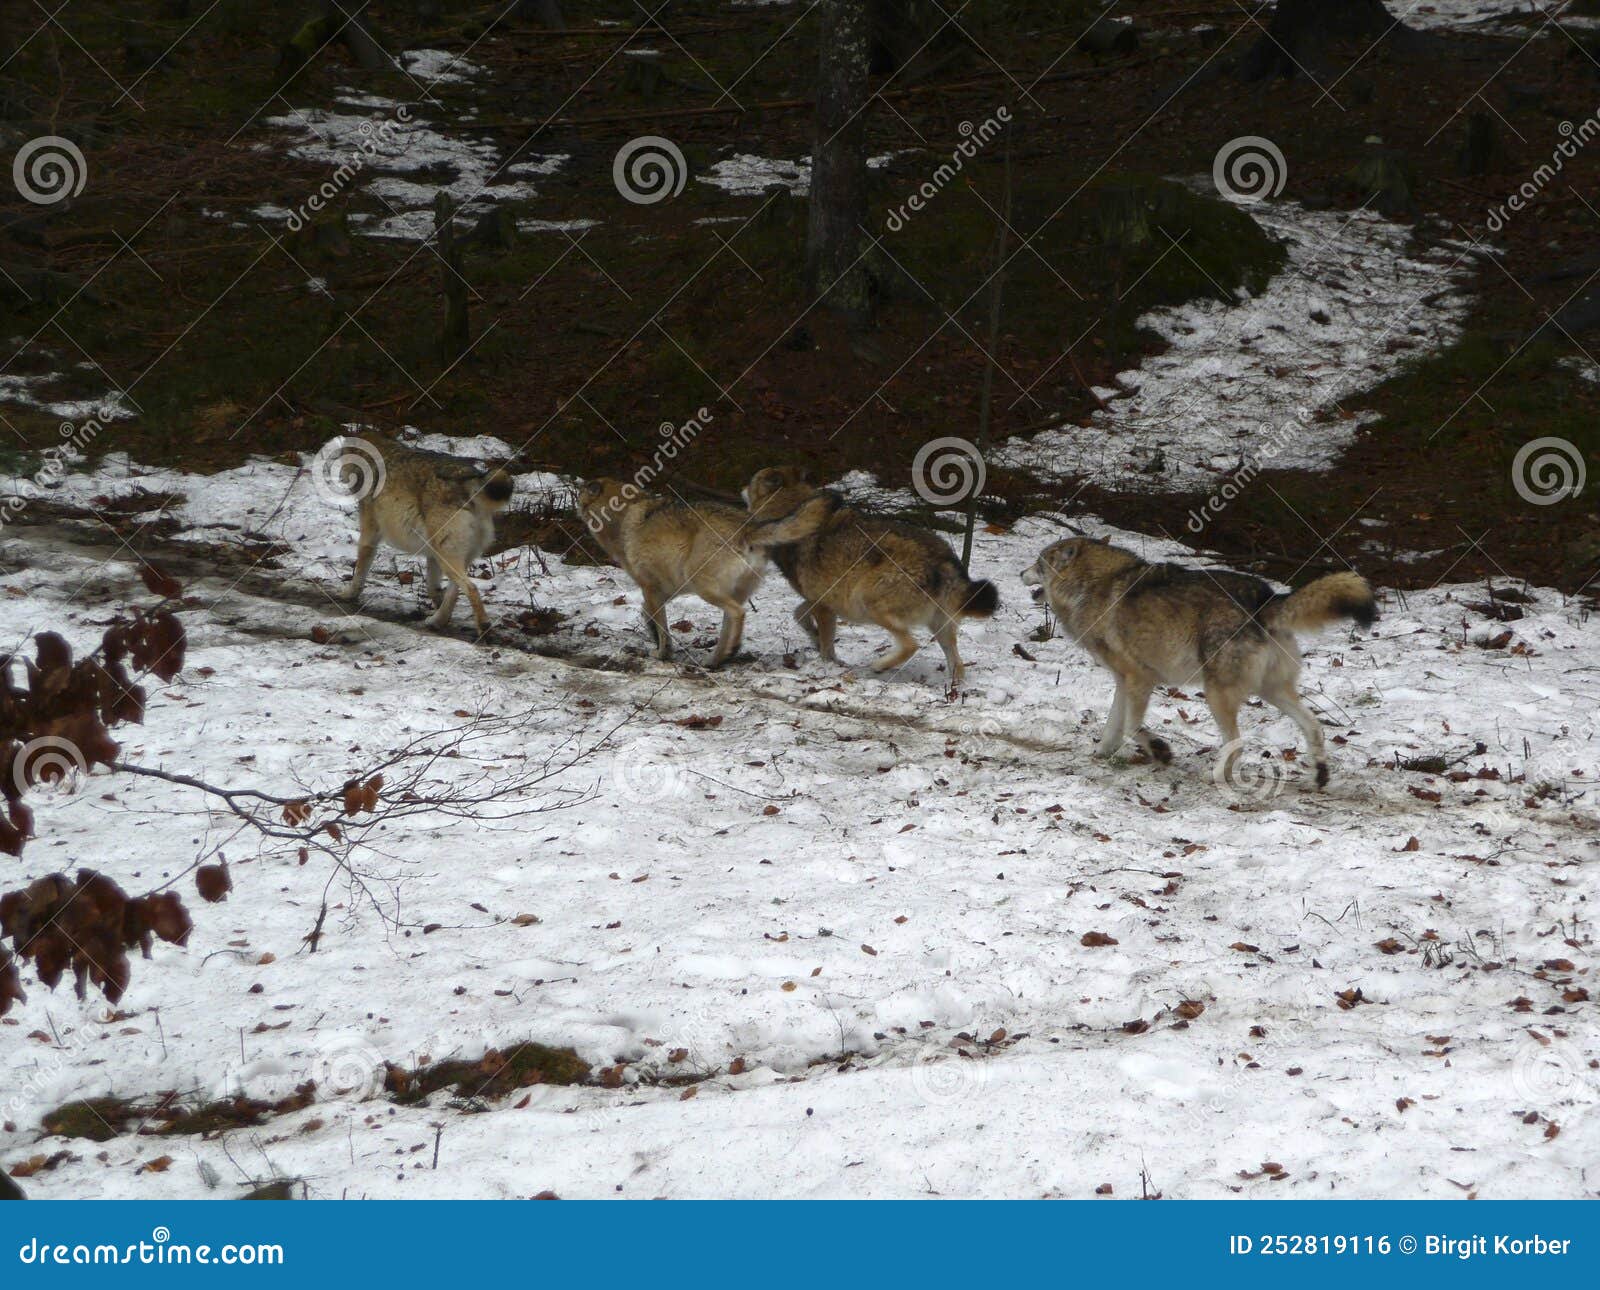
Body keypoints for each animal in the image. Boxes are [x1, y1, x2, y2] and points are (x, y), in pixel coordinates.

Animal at [337, 434, 514, 636]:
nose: (339, 477)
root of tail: (469, 482)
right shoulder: (431, 556)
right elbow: (433, 588)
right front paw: (437, 605)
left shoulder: (369, 535)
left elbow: (359, 571)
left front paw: (348, 594)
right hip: (453, 557)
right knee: (456, 591)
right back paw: (437, 621)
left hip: (448, 558)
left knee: (472, 588)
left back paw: (483, 626)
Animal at [576, 478, 829, 667]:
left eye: (579, 497)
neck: (622, 517)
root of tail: (748, 527)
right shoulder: (663, 590)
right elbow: (649, 615)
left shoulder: (650, 587)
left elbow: (662, 627)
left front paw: (662, 653)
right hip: (727, 591)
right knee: (731, 621)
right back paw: (719, 658)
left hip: (703, 587)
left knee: (738, 613)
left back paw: (725, 653)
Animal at [742, 466, 1000, 690]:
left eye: (753, 480)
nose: (741, 487)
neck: (790, 508)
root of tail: (945, 560)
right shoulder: (823, 601)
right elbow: (799, 614)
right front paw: (814, 637)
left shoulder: (824, 606)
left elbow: (825, 643)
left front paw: (827, 664)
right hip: (940, 627)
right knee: (958, 665)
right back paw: (954, 689)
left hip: (868, 600)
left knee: (911, 645)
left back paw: (878, 666)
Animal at [1020, 536, 1375, 786]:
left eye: (1038, 562)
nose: (1020, 572)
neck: (1092, 586)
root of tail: (1267, 598)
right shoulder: (1124, 681)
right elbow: (1114, 726)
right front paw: (1101, 754)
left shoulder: (1139, 679)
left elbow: (1133, 726)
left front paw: (1160, 750)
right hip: (1270, 691)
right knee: (1314, 726)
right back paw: (1320, 775)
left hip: (1217, 694)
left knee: (1237, 743)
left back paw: (1217, 777)